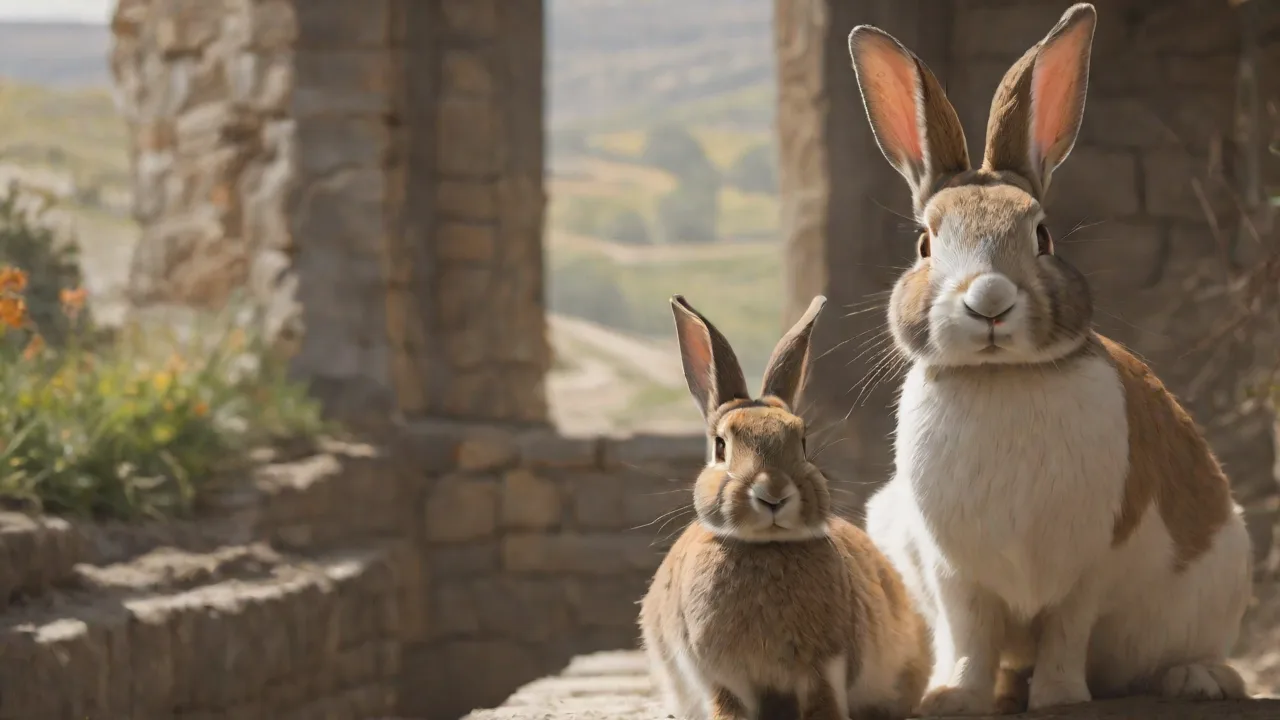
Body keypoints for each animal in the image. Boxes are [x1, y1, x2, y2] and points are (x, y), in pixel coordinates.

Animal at [638, 294, 932, 720]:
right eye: (721, 446)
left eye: (803, 441)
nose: (773, 492)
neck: (765, 547)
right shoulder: (721, 676)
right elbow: (728, 707)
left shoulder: (824, 666)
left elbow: (823, 702)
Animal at [846, 3, 1252, 716]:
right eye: (925, 244)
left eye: (1043, 235)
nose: (989, 300)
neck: (1001, 379)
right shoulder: (955, 572)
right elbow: (970, 634)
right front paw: (954, 698)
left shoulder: (1087, 564)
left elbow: (1067, 631)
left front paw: (1060, 697)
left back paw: (1197, 679)